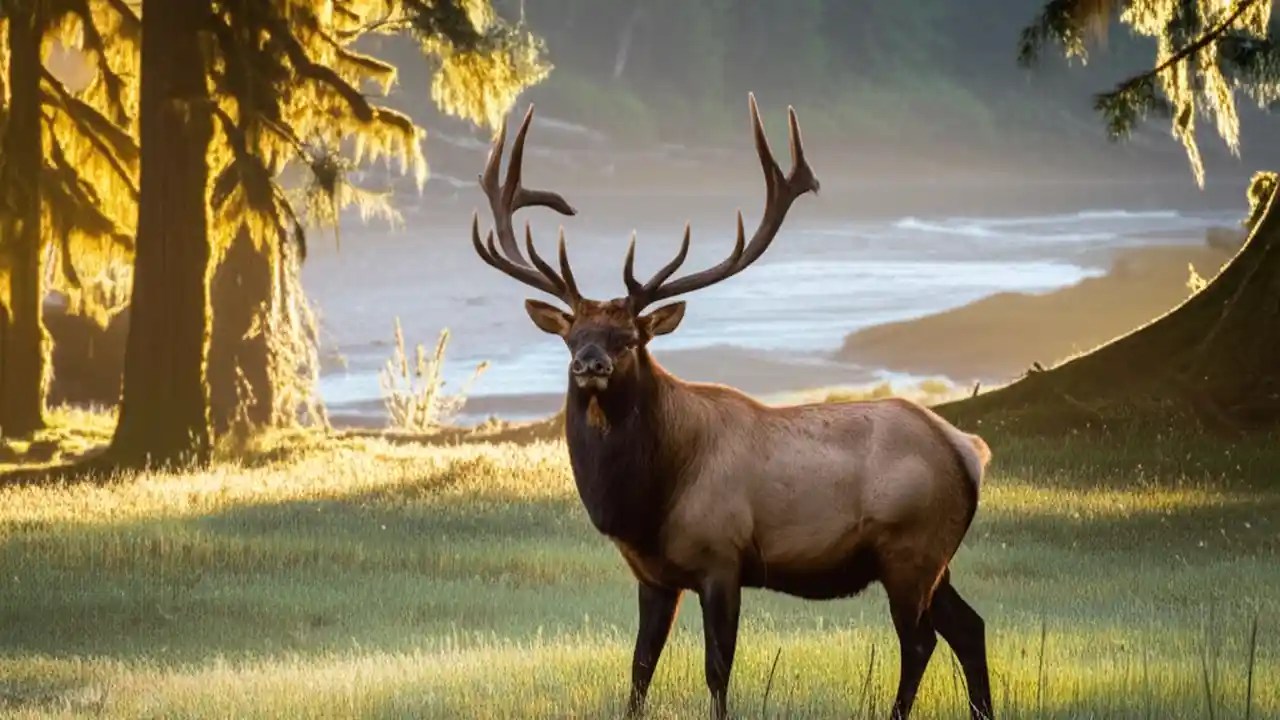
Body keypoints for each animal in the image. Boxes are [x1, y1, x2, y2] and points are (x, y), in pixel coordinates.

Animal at [469, 95, 994, 720]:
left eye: (630, 340)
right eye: (571, 338)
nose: (589, 365)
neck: (647, 500)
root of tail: (970, 452)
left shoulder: (723, 558)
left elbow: (717, 671)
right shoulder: (655, 575)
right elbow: (639, 668)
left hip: (909, 548)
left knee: (920, 642)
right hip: (934, 558)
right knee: (971, 628)